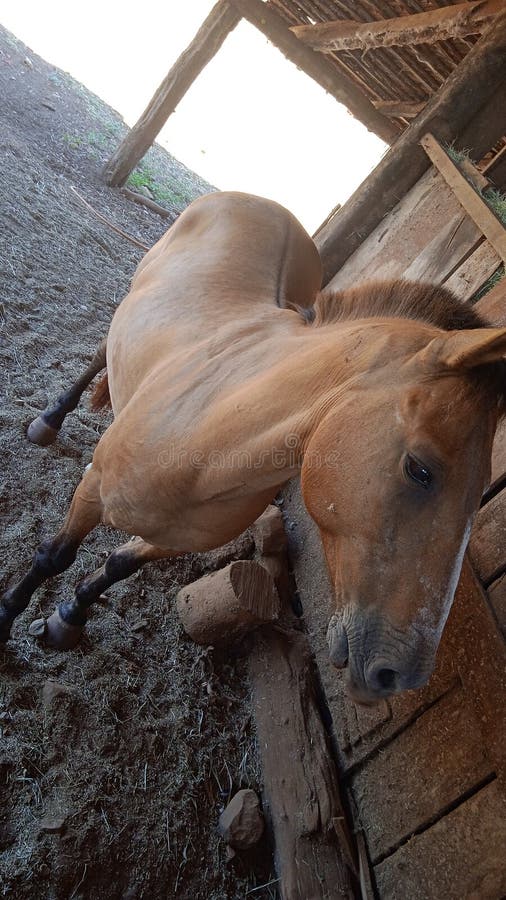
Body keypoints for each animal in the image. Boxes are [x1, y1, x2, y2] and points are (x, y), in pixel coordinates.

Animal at [1, 191, 506, 705]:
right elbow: (54, 555)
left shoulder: (167, 539)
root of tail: (263, 203)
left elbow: (117, 564)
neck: (212, 440)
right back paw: (48, 422)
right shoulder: (93, 487)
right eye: (420, 470)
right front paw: (7, 622)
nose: (399, 674)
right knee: (100, 353)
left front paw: (69, 618)